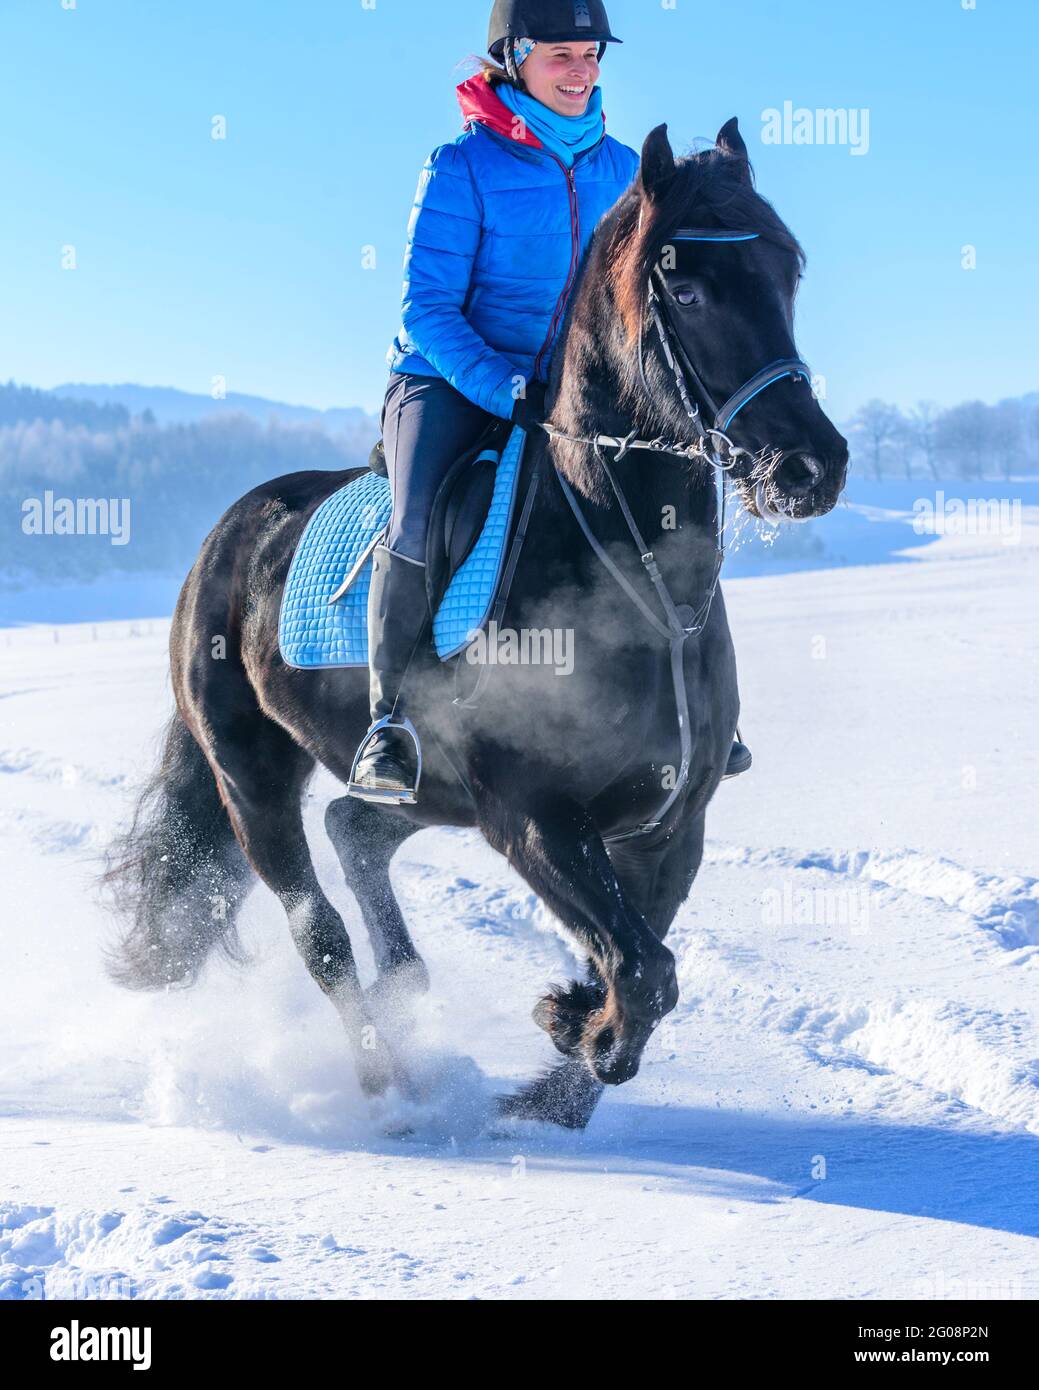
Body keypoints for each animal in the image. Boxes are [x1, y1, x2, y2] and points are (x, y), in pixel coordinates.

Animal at [104, 120, 848, 1130]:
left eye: (785, 273)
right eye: (687, 290)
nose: (811, 466)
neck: (642, 583)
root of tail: (224, 537)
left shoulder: (669, 824)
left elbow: (643, 967)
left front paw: (565, 1047)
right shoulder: (532, 817)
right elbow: (643, 970)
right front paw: (570, 1030)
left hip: (426, 794)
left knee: (353, 828)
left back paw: (411, 1007)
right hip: (249, 777)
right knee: (317, 929)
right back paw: (393, 1089)